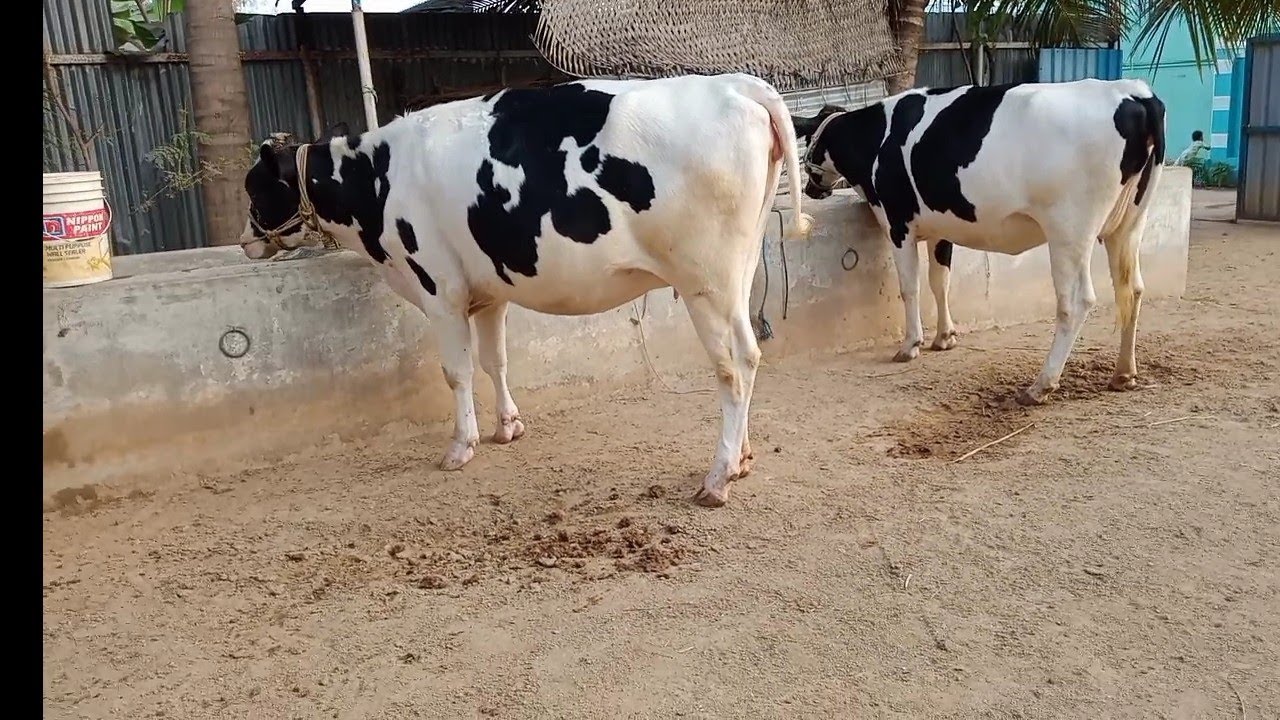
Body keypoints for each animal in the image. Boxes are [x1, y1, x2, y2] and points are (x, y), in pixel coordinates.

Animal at [239, 73, 813, 507]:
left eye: (255, 187)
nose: (246, 240)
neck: (378, 178)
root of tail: (736, 83)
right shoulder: (490, 291)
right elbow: (496, 360)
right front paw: (507, 425)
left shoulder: (439, 288)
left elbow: (456, 372)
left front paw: (460, 447)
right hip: (739, 272)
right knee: (749, 354)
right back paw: (742, 460)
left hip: (705, 281)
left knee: (733, 364)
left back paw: (718, 477)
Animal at [792, 78, 1166, 405]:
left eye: (810, 141)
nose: (811, 188)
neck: (876, 140)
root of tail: (1133, 92)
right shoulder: (940, 227)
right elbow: (940, 281)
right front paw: (945, 337)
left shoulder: (898, 223)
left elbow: (910, 286)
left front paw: (911, 344)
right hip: (1129, 223)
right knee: (1131, 288)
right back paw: (1123, 374)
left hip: (1069, 230)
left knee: (1075, 302)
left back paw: (1041, 386)